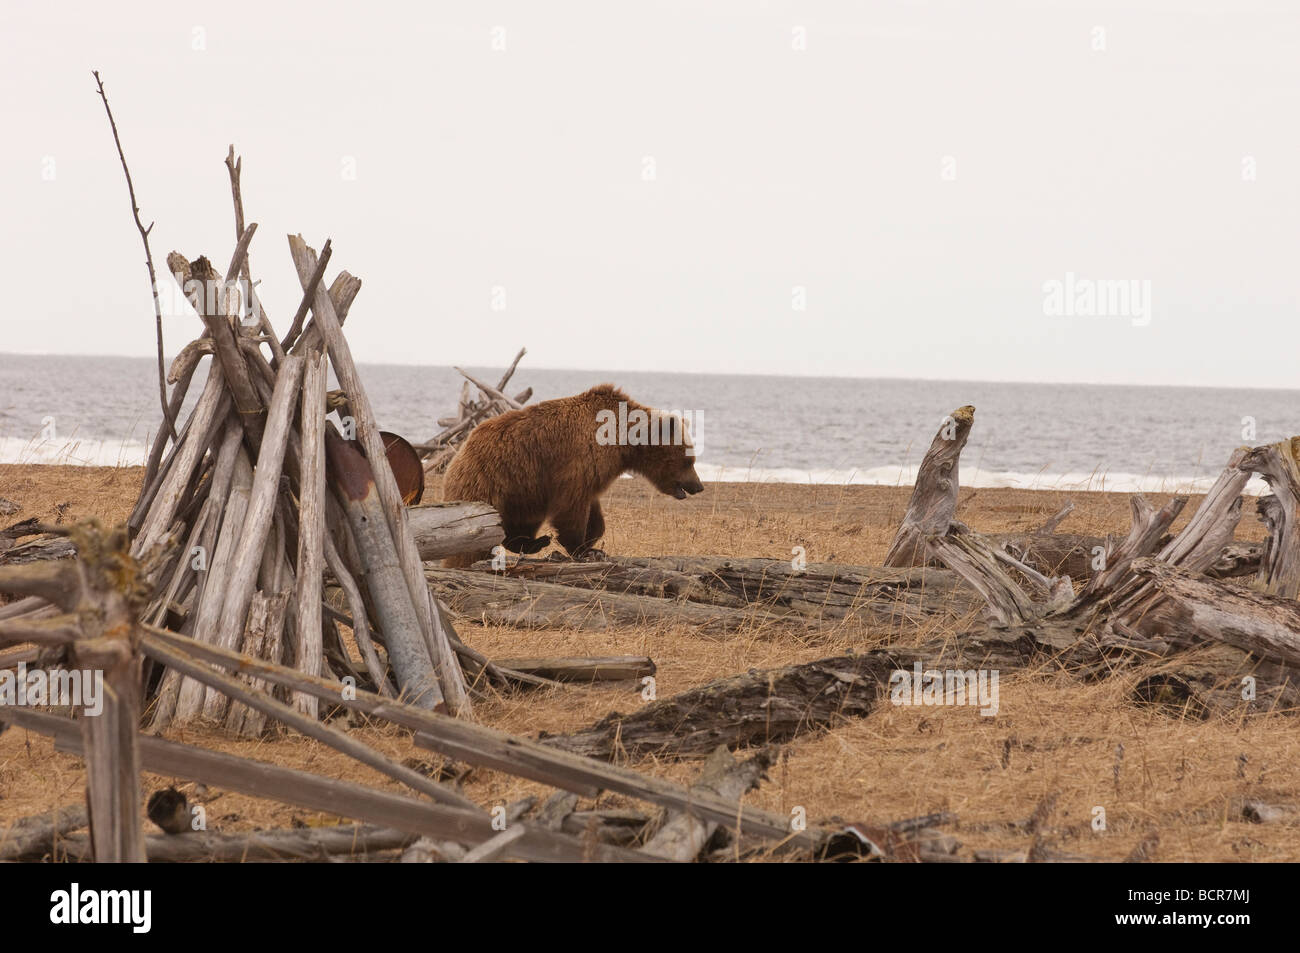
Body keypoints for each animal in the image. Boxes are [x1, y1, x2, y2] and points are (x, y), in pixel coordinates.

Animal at [441, 384, 703, 568]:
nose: (698, 486)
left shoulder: (594, 471)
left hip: (522, 490)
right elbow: (571, 507)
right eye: (689, 460)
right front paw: (581, 548)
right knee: (476, 537)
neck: (623, 441)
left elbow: (592, 509)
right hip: (489, 483)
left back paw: (535, 542)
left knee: (520, 521)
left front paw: (594, 542)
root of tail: (459, 453)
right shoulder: (578, 461)